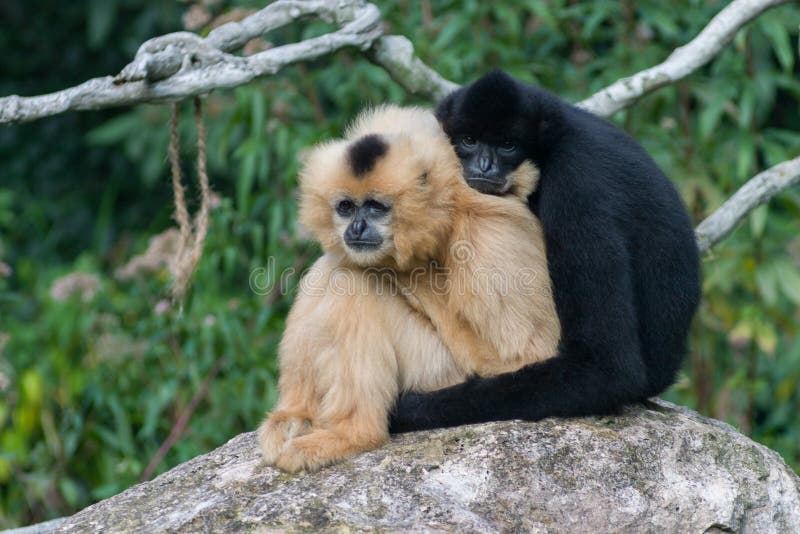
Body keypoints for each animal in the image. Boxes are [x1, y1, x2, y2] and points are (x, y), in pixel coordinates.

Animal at [257, 105, 560, 473]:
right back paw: (295, 415)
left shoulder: (489, 237)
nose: (356, 228)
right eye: (346, 207)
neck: (443, 209)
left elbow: (521, 358)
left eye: (376, 207)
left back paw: (352, 435)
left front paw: (394, 269)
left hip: (440, 370)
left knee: (351, 280)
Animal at [389, 69, 702, 433]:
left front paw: (408, 410)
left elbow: (607, 368)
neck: (554, 143)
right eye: (469, 140)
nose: (484, 165)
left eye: (507, 145)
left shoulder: (576, 186)